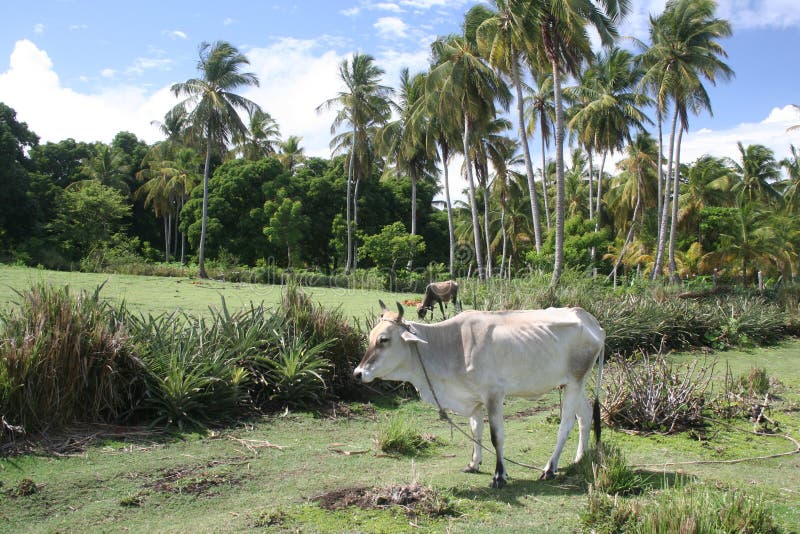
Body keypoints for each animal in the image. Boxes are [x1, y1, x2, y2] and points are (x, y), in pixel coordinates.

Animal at [353, 301, 605, 488]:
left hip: (575, 382)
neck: (451, 345)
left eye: (384, 339)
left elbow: (496, 437)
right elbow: (476, 431)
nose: (357, 373)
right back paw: (579, 458)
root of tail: (590, 320)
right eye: (371, 337)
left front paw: (499, 476)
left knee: (566, 424)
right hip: (572, 384)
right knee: (585, 416)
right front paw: (474, 464)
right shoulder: (473, 399)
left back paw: (550, 468)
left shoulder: (493, 395)